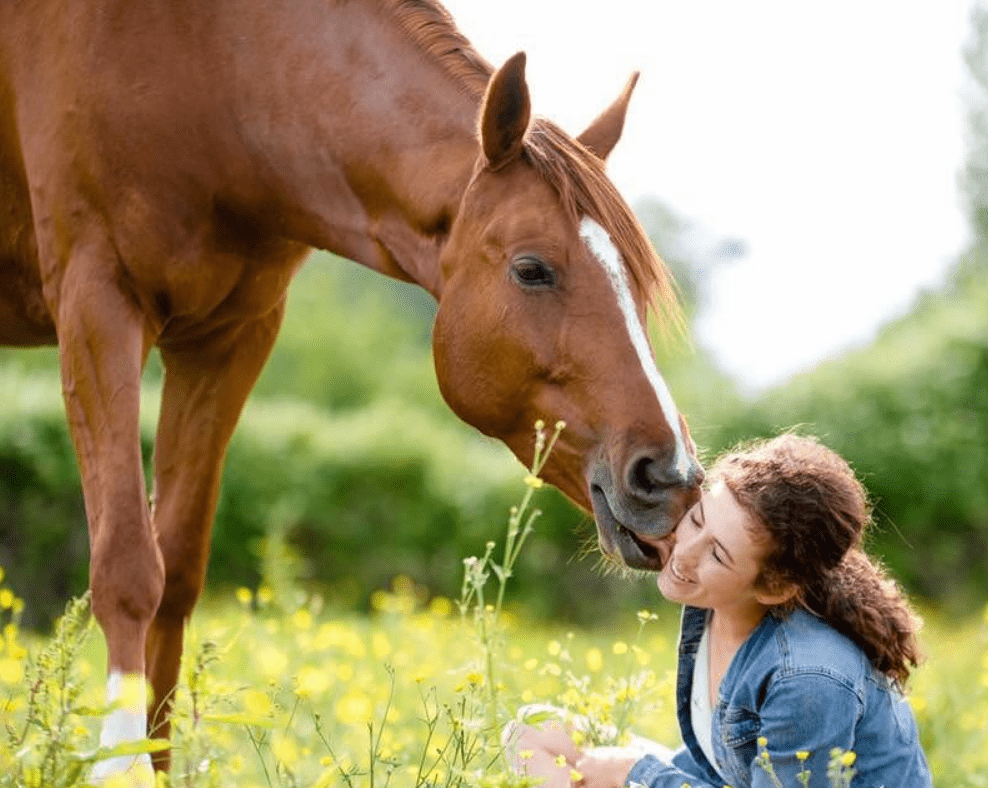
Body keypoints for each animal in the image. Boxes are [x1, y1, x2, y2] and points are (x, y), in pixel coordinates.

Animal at [0, 0, 703, 779]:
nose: (669, 476)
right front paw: (120, 767)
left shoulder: (229, 337)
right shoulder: (98, 304)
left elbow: (175, 574)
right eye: (531, 269)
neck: (210, 76)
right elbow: (128, 565)